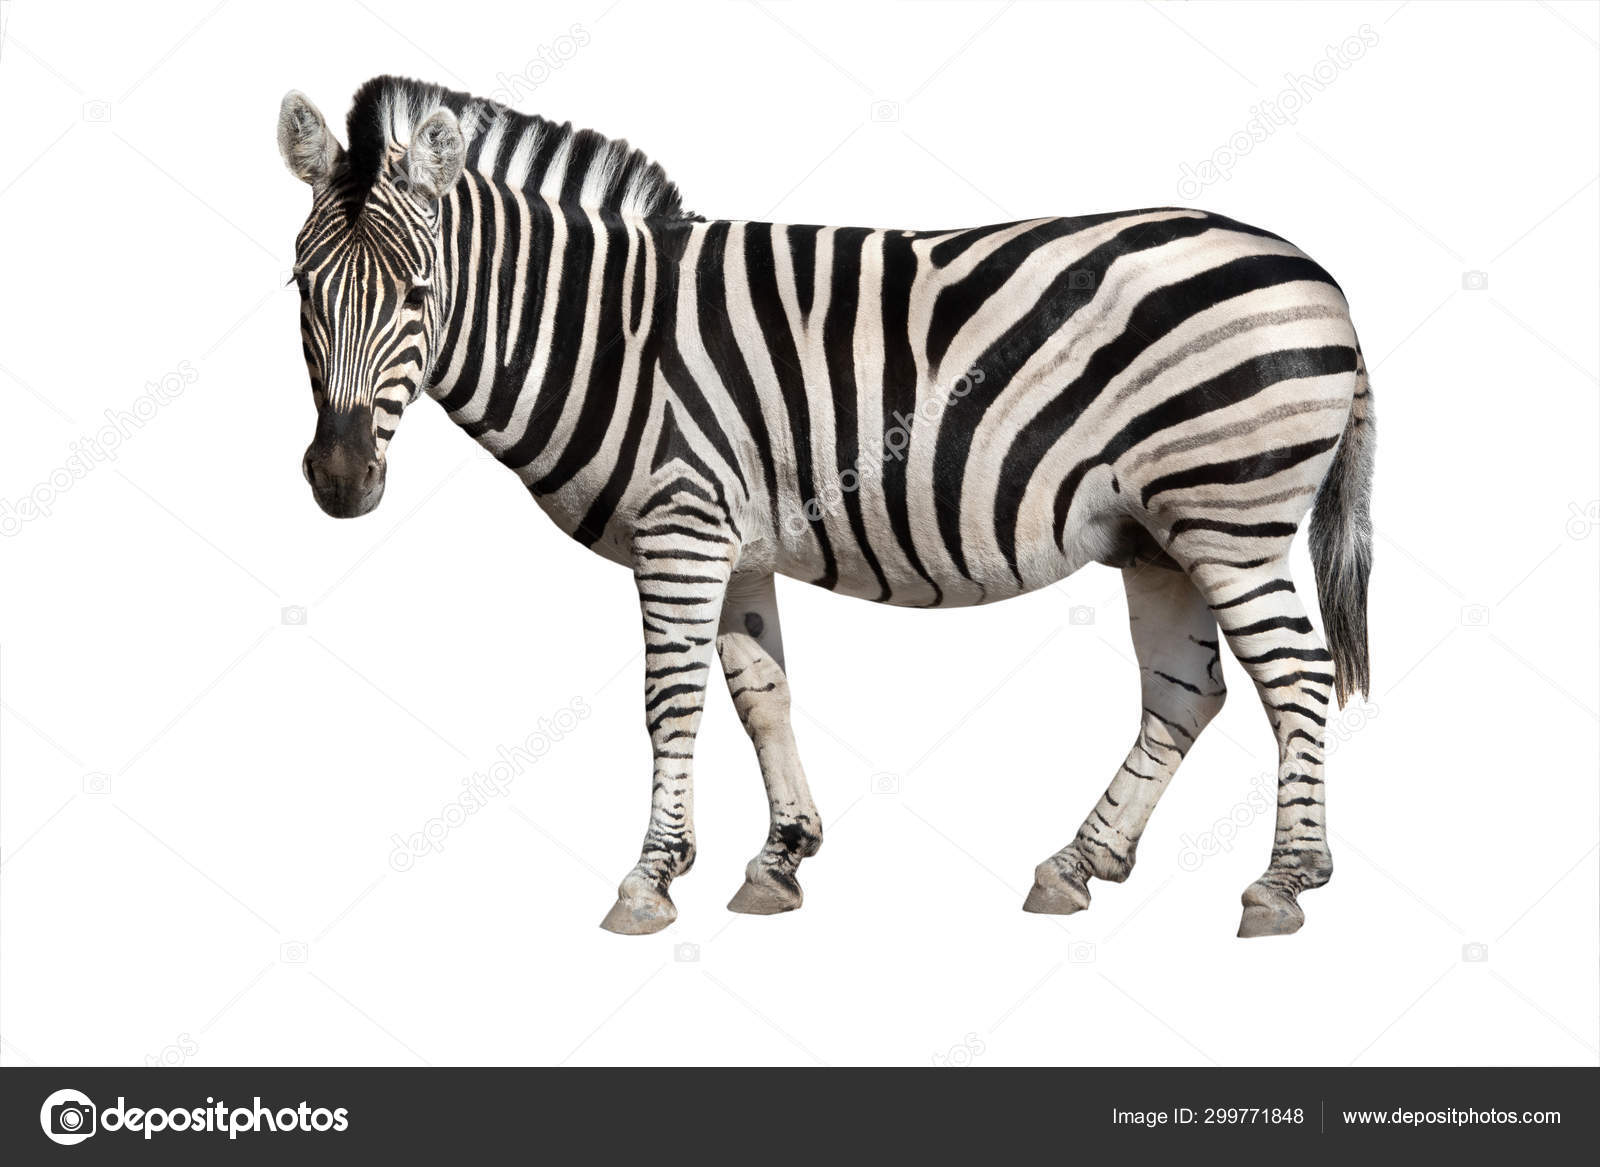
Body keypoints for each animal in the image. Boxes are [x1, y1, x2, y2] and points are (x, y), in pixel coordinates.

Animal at [277, 76, 1374, 939]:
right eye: (299, 289)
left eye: (418, 293)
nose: (338, 479)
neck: (606, 333)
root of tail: (1321, 277)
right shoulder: (730, 543)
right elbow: (761, 693)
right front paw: (778, 859)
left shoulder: (680, 526)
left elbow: (670, 703)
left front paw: (649, 878)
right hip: (1158, 536)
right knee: (1186, 695)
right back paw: (1077, 864)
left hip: (1229, 518)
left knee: (1299, 678)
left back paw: (1284, 881)